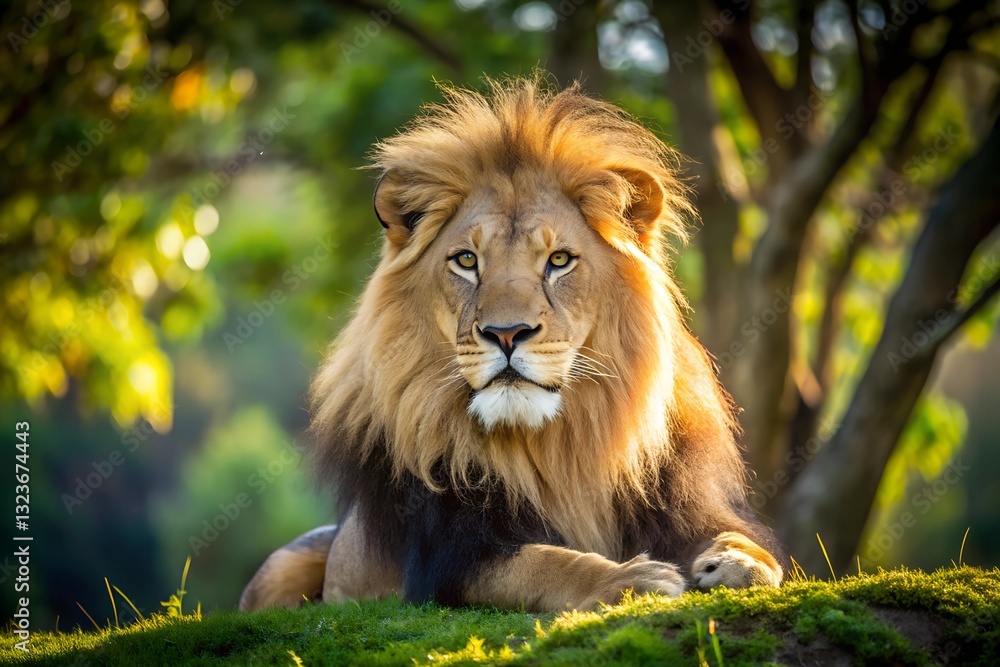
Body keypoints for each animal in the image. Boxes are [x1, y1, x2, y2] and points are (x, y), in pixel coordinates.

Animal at [240, 76, 784, 614]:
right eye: (466, 260)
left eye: (559, 260)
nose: (506, 334)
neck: (556, 447)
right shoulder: (448, 559)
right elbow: (545, 563)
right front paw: (630, 579)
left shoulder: (683, 505)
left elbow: (730, 536)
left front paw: (742, 561)